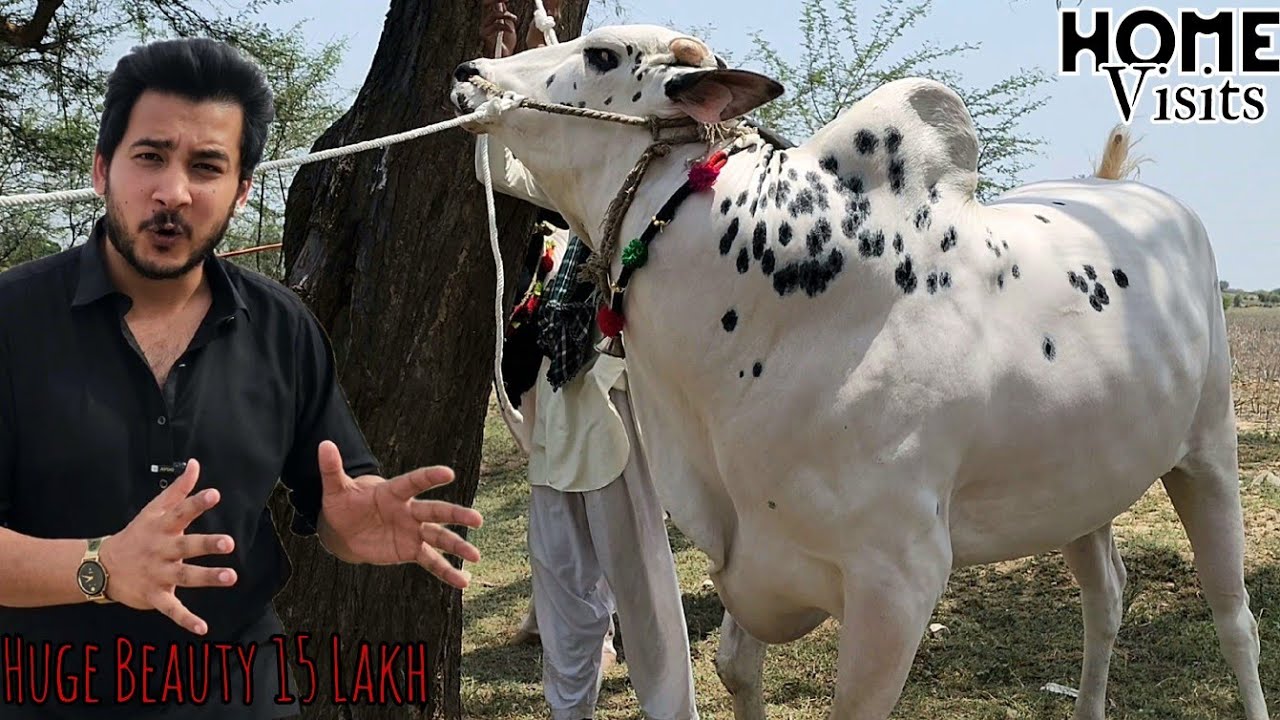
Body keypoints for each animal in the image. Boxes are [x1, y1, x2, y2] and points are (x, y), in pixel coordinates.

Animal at [451, 24, 1270, 720]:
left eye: (600, 55)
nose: (468, 73)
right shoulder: (754, 561)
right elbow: (735, 668)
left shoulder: (898, 581)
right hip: (1080, 487)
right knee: (1106, 598)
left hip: (1208, 451)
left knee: (1235, 619)